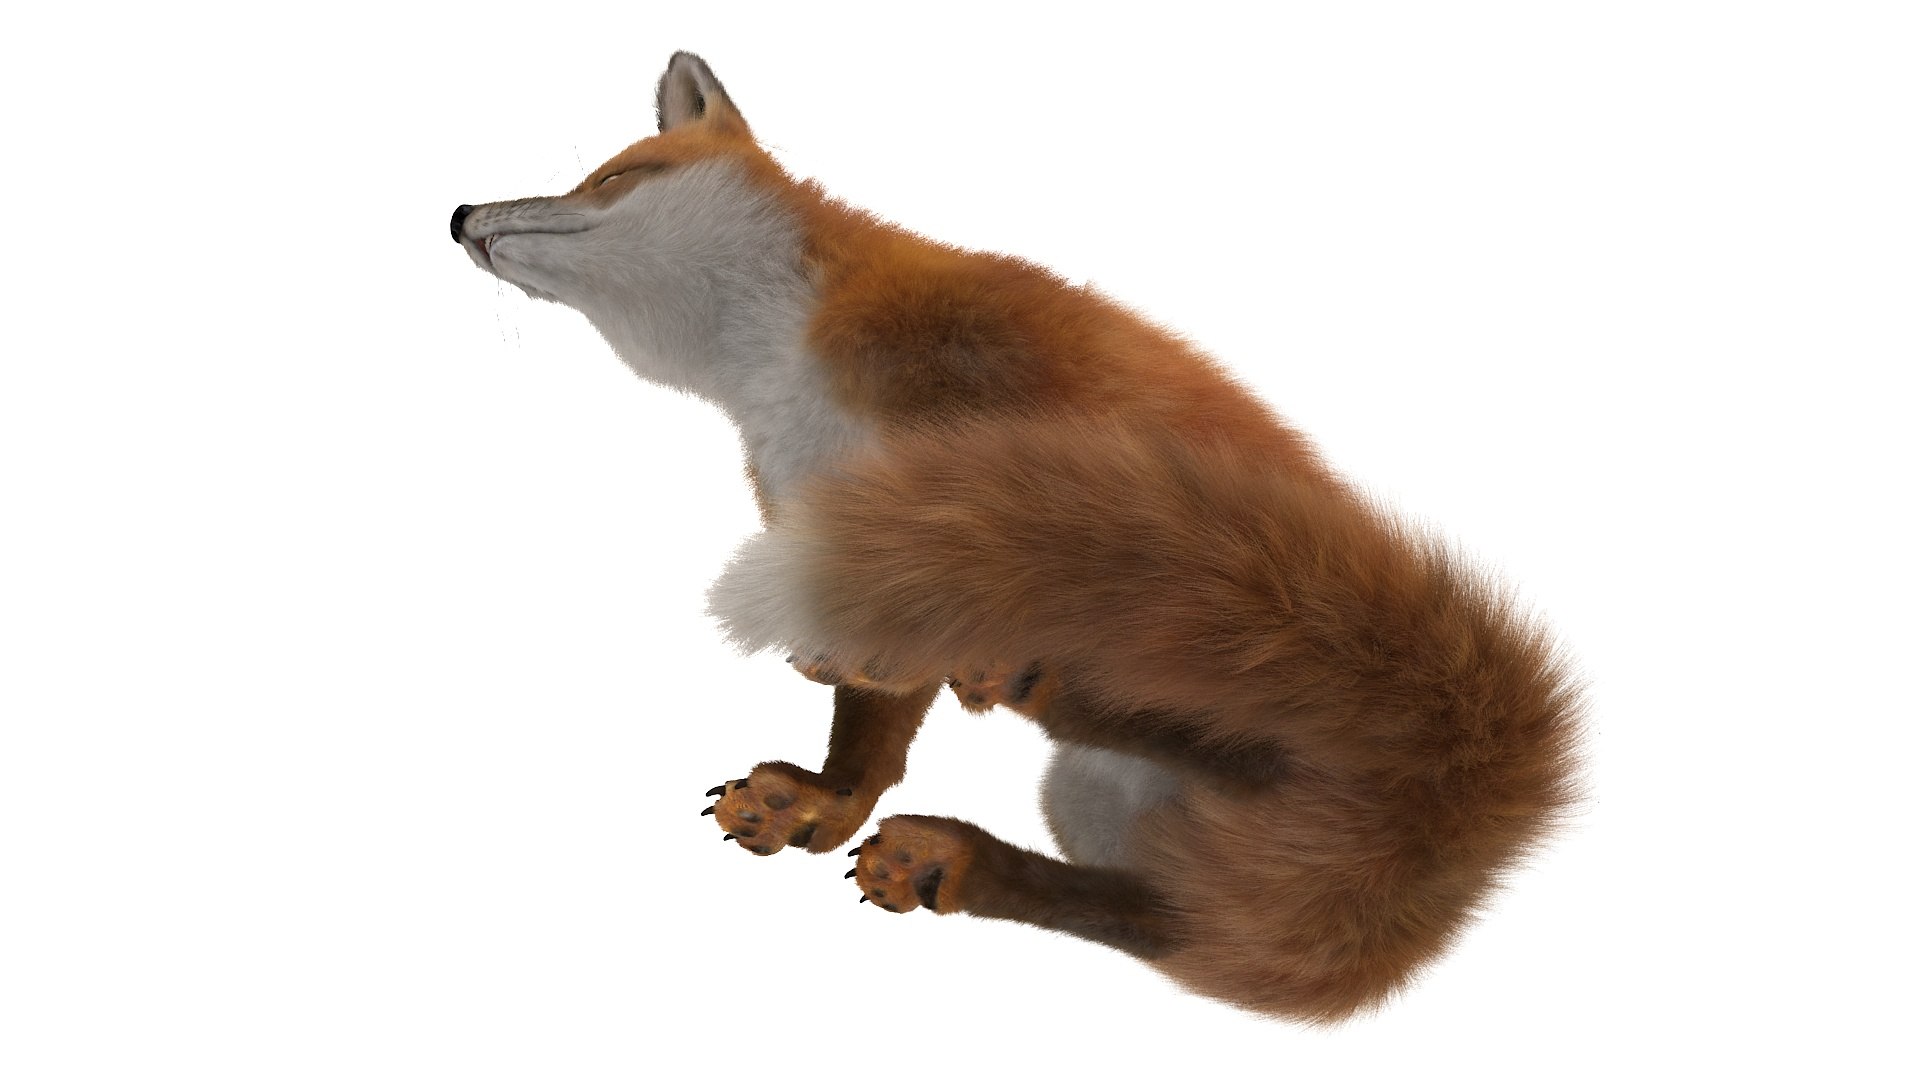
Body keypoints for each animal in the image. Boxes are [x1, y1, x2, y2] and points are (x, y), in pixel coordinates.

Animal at [451, 52, 1583, 1023]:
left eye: (609, 178)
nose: (460, 215)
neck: (783, 366)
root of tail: (1458, 820)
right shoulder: (867, 540)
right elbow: (872, 728)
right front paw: (826, 804)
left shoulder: (1041, 417)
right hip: (1094, 800)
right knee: (1151, 919)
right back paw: (958, 859)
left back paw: (1031, 696)